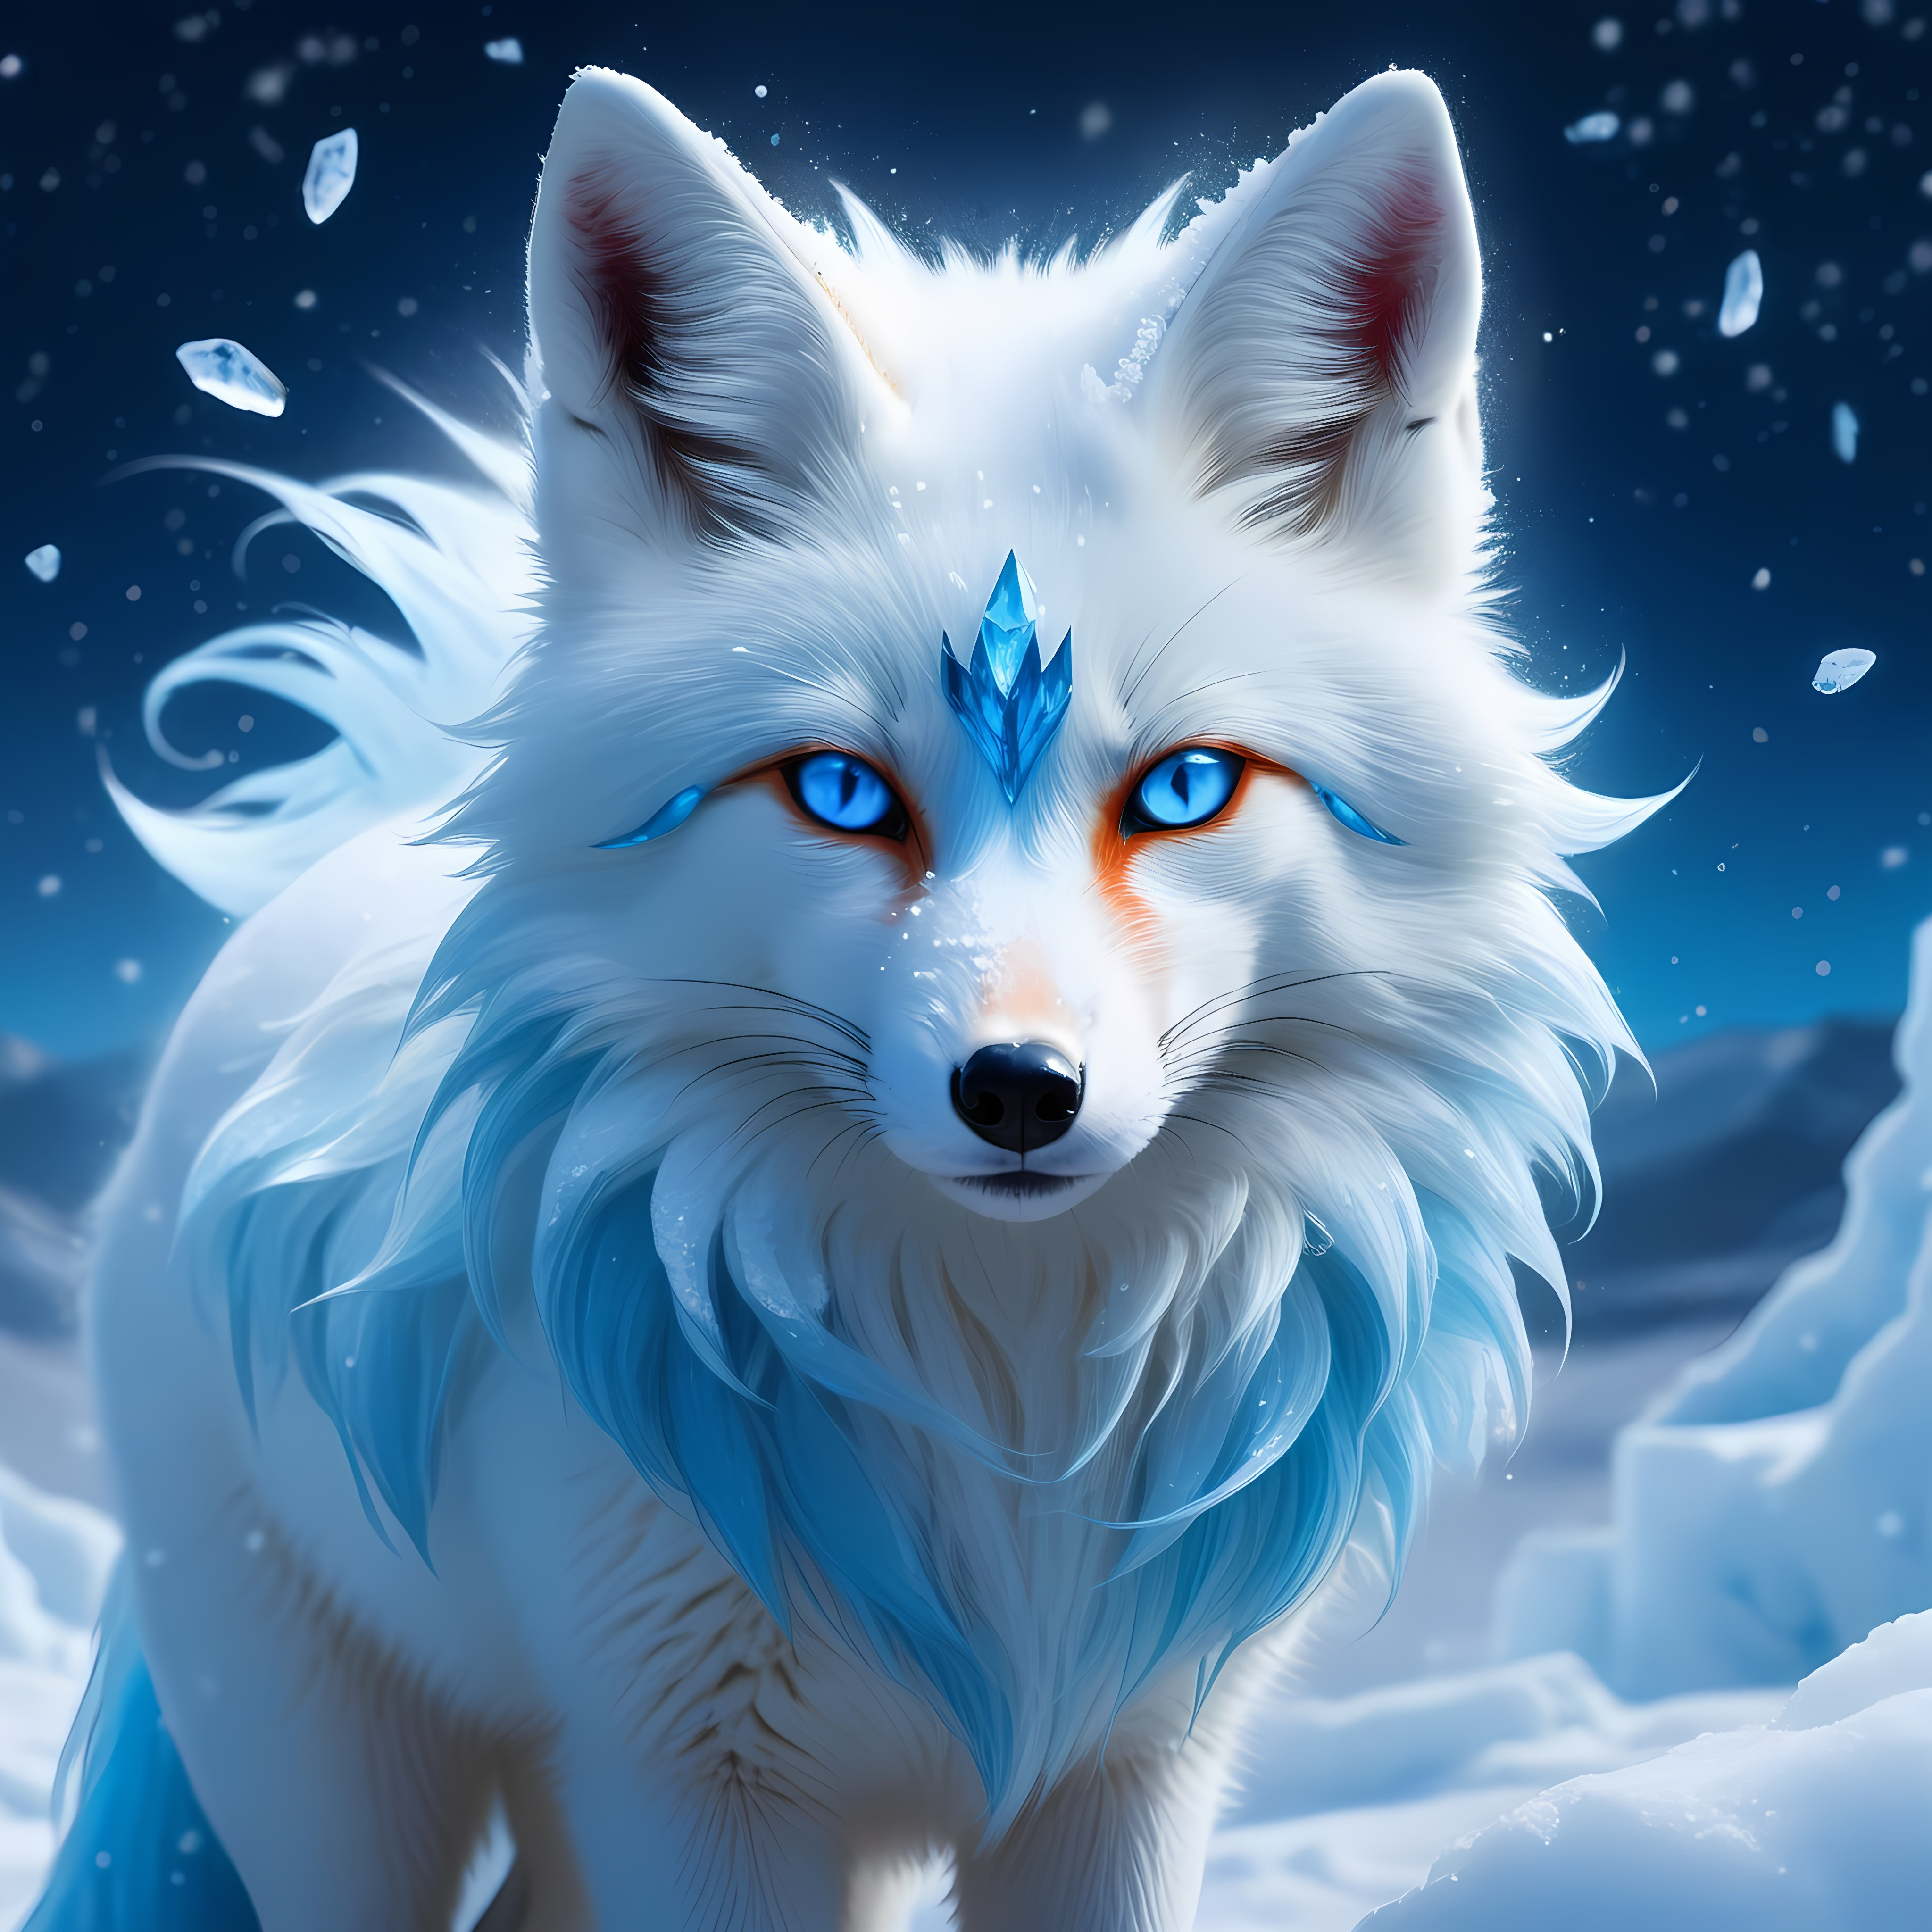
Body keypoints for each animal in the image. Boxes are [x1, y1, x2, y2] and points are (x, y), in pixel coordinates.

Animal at [30, 63, 1662, 1932]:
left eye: (1184, 790)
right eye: (838, 790)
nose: (1017, 1089)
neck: (1006, 1408)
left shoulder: (1124, 1773)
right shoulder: (695, 1776)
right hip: (340, 1774)